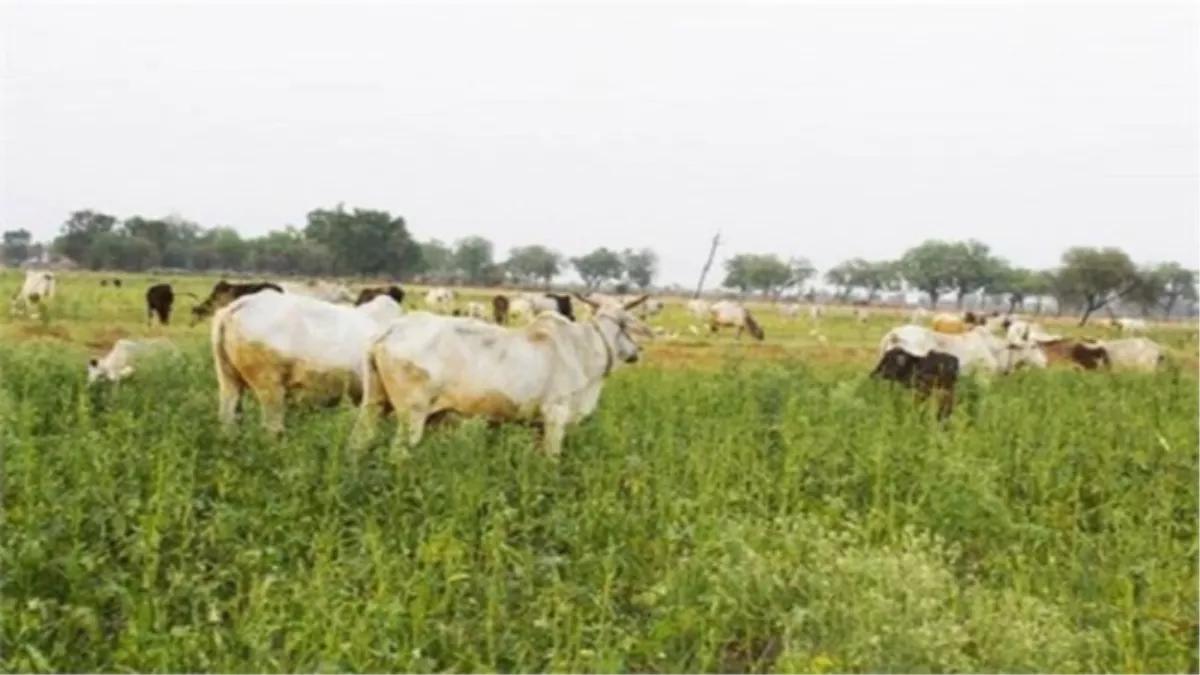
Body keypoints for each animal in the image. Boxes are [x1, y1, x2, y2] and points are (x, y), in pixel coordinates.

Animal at [349, 295, 654, 457]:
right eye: (627, 326)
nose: (637, 352)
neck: (585, 348)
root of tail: (393, 329)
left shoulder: (538, 425)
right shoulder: (556, 415)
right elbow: (553, 458)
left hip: (374, 405)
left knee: (360, 441)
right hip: (412, 414)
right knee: (399, 453)